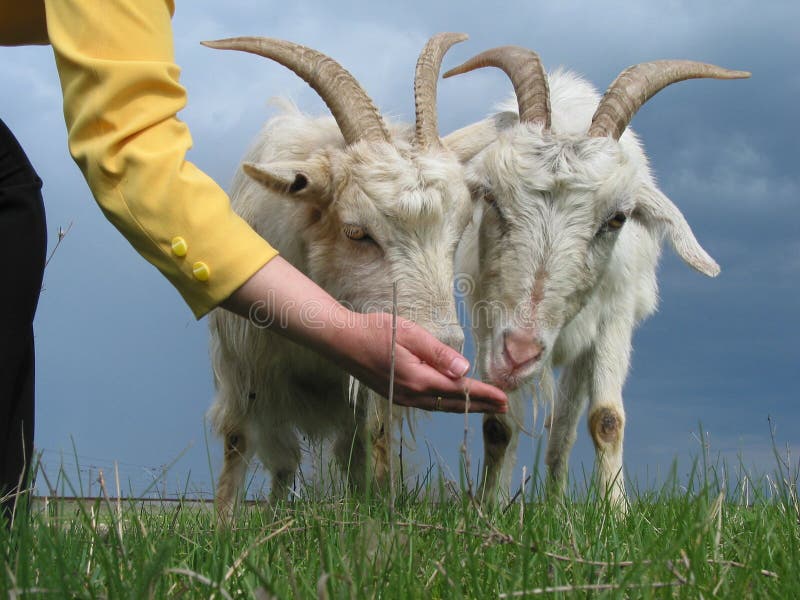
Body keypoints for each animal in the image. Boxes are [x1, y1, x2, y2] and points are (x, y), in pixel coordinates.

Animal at [444, 46, 749, 507]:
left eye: (617, 218)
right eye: (490, 196)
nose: (520, 352)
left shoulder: (614, 317)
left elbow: (606, 419)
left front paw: (615, 513)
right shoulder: (486, 321)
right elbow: (499, 425)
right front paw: (490, 506)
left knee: (563, 431)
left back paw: (556, 504)